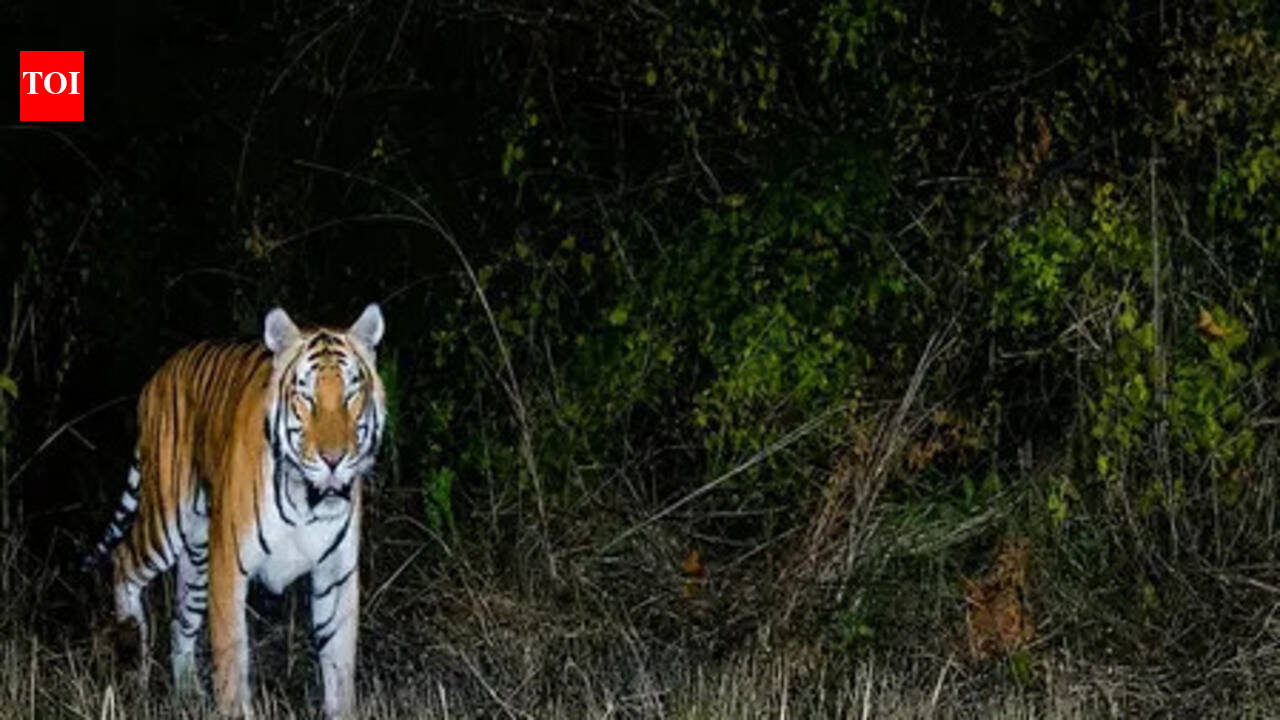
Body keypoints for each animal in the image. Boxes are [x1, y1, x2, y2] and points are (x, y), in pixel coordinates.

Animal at [83, 304, 387, 718]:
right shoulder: (229, 567)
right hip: (167, 519)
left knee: (181, 621)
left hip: (197, 555)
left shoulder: (336, 574)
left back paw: (187, 693)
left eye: (351, 393)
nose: (334, 459)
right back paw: (132, 648)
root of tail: (161, 372)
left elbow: (339, 666)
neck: (307, 500)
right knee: (124, 558)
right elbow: (231, 659)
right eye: (306, 396)